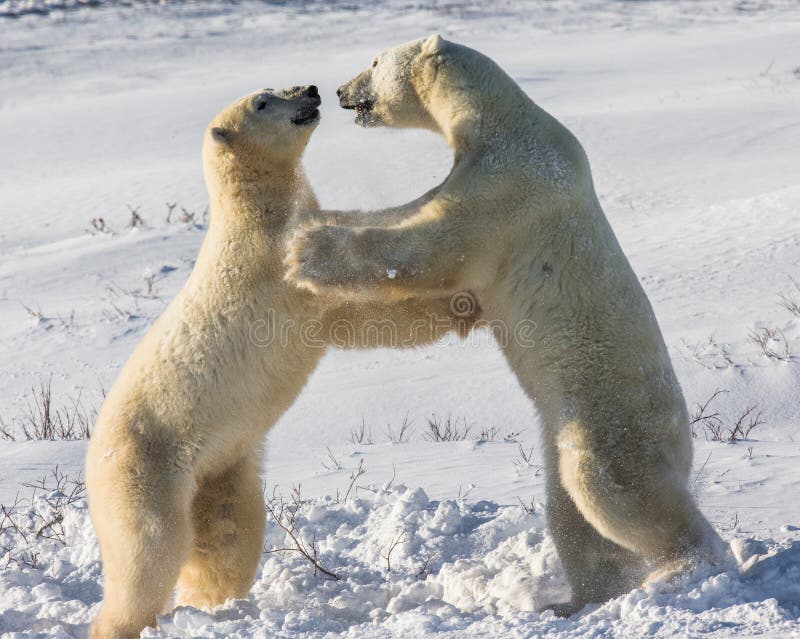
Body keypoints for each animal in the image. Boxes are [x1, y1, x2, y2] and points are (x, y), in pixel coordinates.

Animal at [85, 85, 476, 639]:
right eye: (263, 102)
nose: (310, 90)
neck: (255, 216)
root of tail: (93, 453)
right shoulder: (276, 265)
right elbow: (351, 287)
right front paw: (461, 299)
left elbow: (360, 320)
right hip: (147, 468)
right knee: (149, 551)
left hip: (220, 466)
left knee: (229, 537)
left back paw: (213, 605)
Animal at [284, 36, 729, 614]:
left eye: (377, 62)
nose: (339, 89)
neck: (503, 119)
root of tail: (684, 440)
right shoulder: (470, 170)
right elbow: (426, 250)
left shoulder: (506, 184)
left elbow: (432, 246)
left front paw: (307, 249)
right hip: (565, 430)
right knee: (574, 518)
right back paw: (572, 602)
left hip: (611, 421)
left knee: (613, 490)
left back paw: (681, 568)